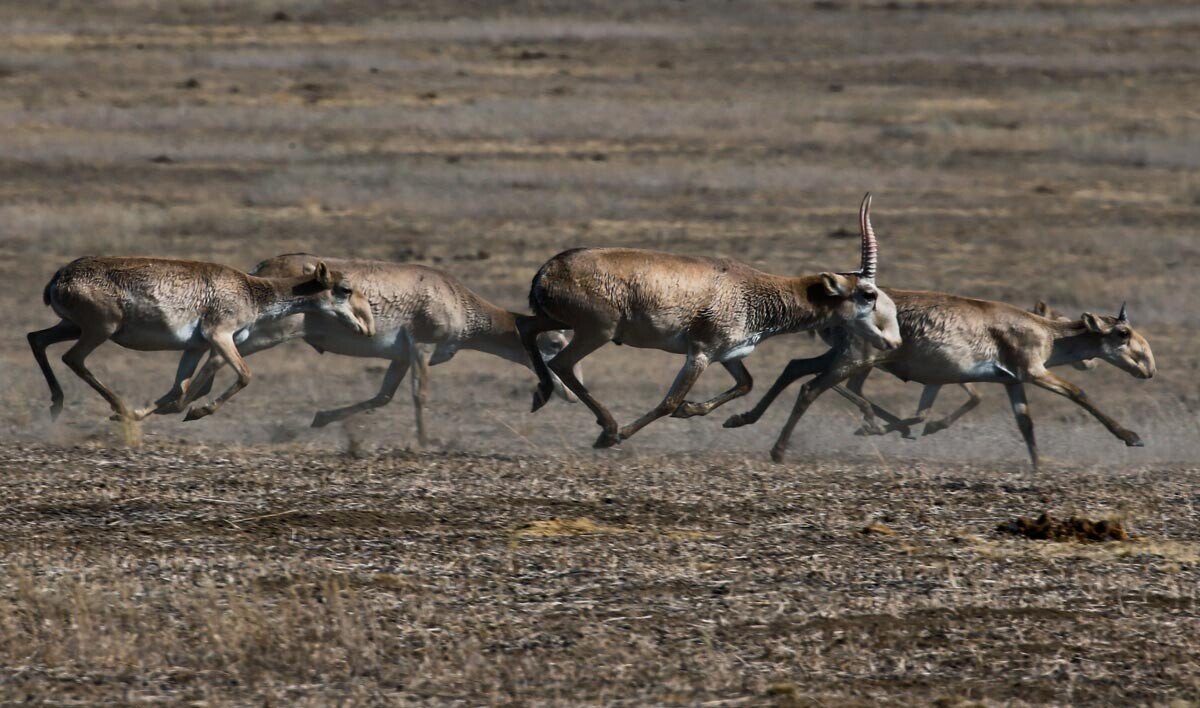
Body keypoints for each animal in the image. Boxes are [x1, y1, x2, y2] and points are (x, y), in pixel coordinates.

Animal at [28, 255, 374, 422]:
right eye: (345, 290)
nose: (367, 326)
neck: (253, 292)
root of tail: (58, 278)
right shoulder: (220, 336)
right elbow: (244, 376)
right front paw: (196, 412)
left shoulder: (195, 347)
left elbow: (178, 389)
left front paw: (146, 414)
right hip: (101, 329)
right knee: (72, 358)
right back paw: (118, 406)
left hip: (72, 326)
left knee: (37, 339)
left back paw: (60, 405)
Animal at [164, 254, 580, 444]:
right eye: (555, 342)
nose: (574, 394)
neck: (459, 300)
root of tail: (261, 269)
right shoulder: (422, 349)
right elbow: (419, 395)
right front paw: (425, 442)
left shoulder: (399, 359)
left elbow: (382, 396)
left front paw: (321, 418)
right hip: (267, 334)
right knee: (218, 354)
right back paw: (189, 405)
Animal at [516, 193, 902, 448]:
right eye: (868, 294)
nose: (892, 342)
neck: (748, 287)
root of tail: (548, 269)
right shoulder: (700, 354)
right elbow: (669, 402)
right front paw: (620, 435)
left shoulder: (729, 356)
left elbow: (745, 384)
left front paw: (710, 415)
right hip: (597, 332)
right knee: (562, 362)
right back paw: (608, 429)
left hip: (561, 322)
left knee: (525, 329)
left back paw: (544, 397)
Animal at [720, 291, 1152, 468]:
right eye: (1122, 334)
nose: (1149, 367)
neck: (1047, 332)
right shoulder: (1034, 371)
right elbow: (1079, 393)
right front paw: (1131, 436)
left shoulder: (1012, 381)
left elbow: (1025, 422)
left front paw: (1037, 464)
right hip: (856, 359)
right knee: (811, 387)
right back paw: (779, 450)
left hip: (843, 356)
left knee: (795, 367)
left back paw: (741, 419)